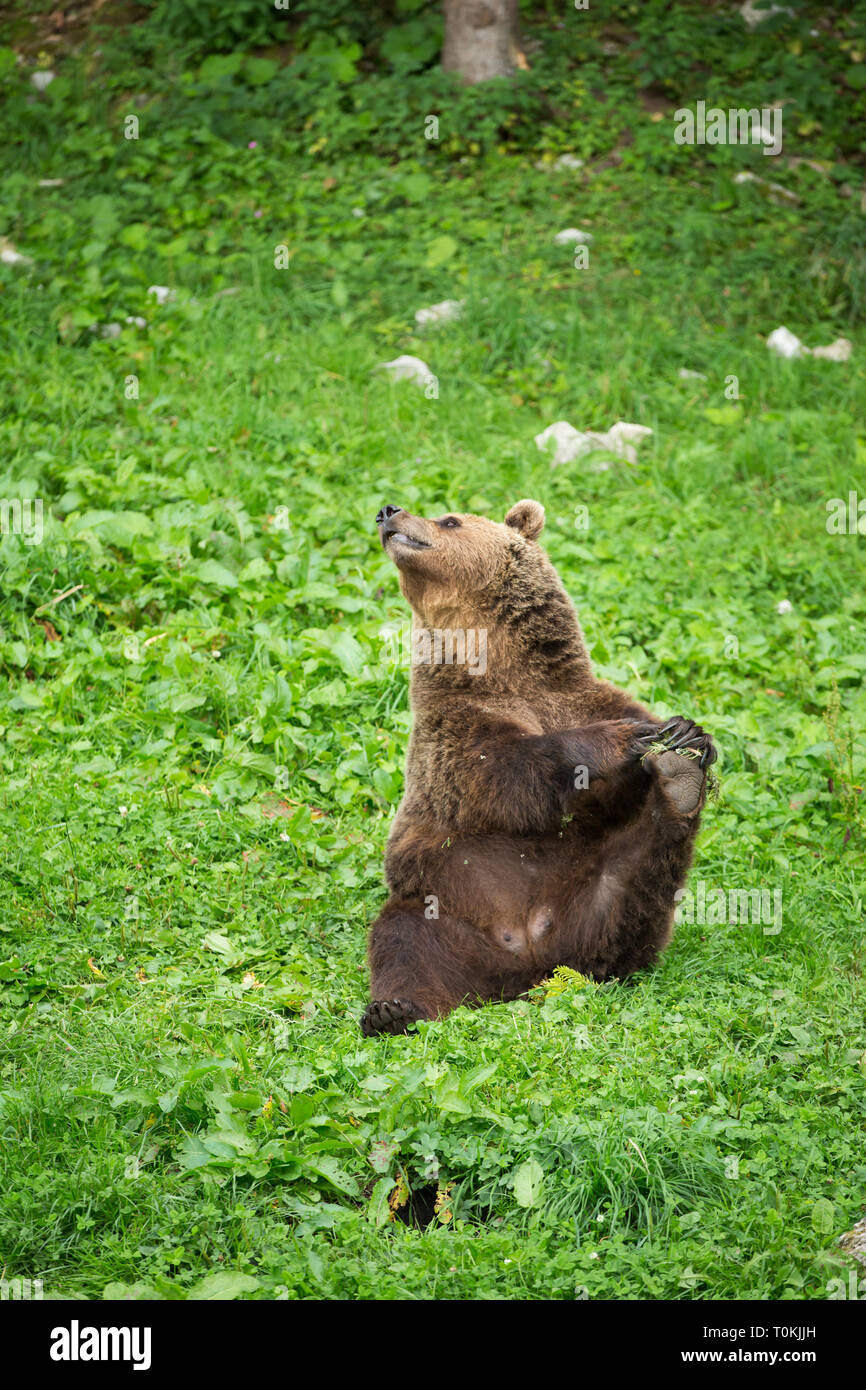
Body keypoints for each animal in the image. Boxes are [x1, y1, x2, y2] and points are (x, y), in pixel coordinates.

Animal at [361, 498, 717, 1037]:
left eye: (449, 520)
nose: (388, 511)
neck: (501, 661)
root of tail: (533, 964)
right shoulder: (453, 722)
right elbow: (502, 771)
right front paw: (622, 740)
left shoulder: (577, 696)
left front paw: (687, 734)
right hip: (442, 905)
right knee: (403, 942)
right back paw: (393, 1010)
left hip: (592, 902)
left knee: (639, 886)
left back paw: (679, 783)